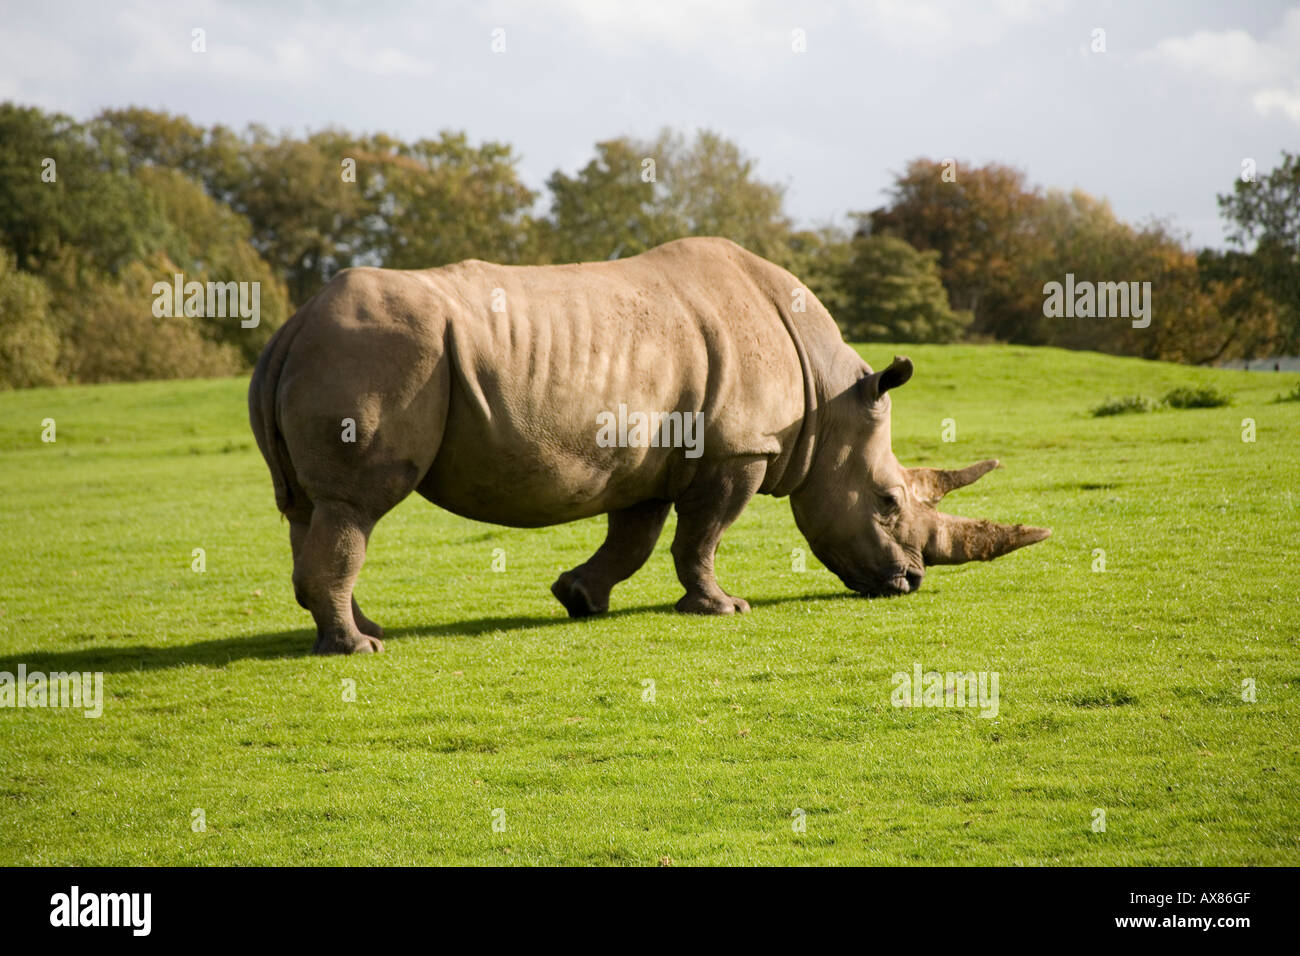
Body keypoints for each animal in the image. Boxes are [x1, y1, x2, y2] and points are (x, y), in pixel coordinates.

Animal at [249, 237, 1048, 654]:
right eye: (886, 501)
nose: (909, 583)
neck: (829, 400)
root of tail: (293, 324)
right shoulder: (739, 449)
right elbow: (701, 537)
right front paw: (725, 609)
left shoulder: (649, 457)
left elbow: (634, 539)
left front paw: (579, 598)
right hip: (378, 354)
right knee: (353, 507)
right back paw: (360, 649)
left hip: (337, 353)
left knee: (308, 511)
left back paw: (361, 629)